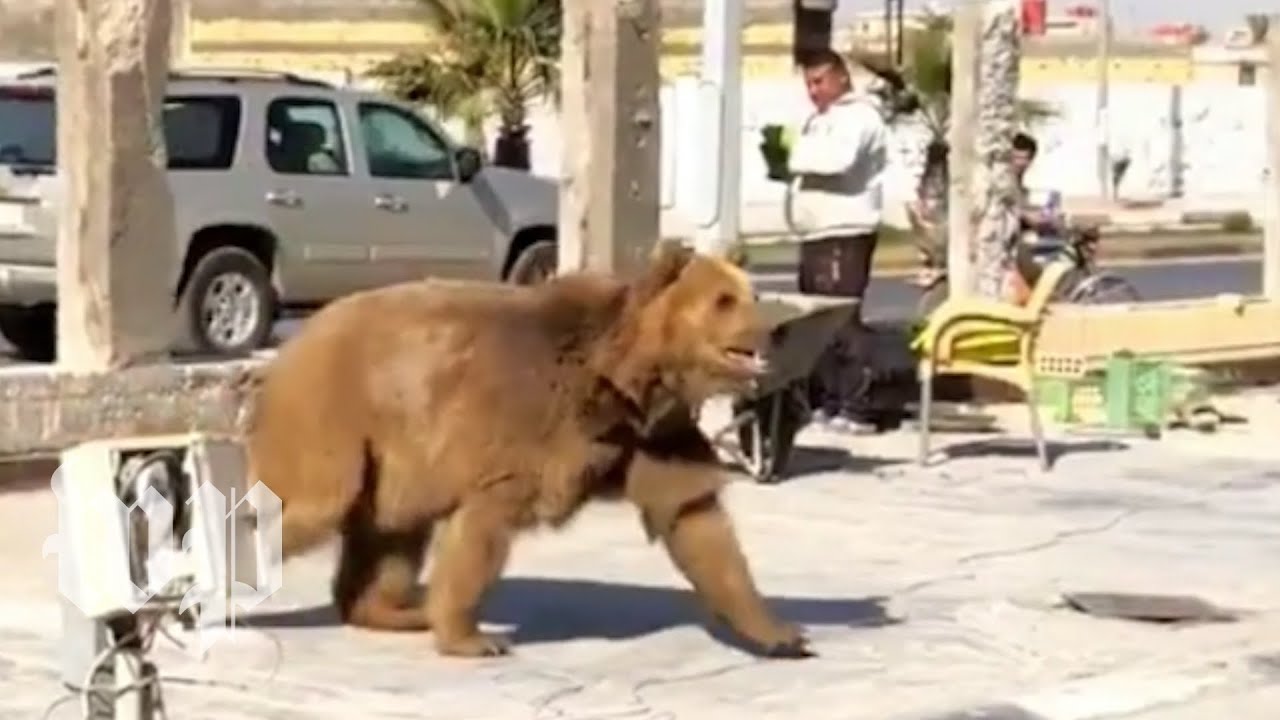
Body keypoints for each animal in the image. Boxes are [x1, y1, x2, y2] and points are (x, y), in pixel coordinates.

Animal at [244, 240, 812, 659]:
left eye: (749, 293)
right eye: (724, 301)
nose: (769, 332)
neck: (627, 381)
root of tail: (291, 343)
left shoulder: (654, 437)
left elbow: (697, 518)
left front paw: (782, 632)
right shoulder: (531, 428)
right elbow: (485, 529)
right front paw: (474, 638)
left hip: (396, 460)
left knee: (394, 537)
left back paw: (394, 611)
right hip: (335, 416)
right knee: (310, 507)